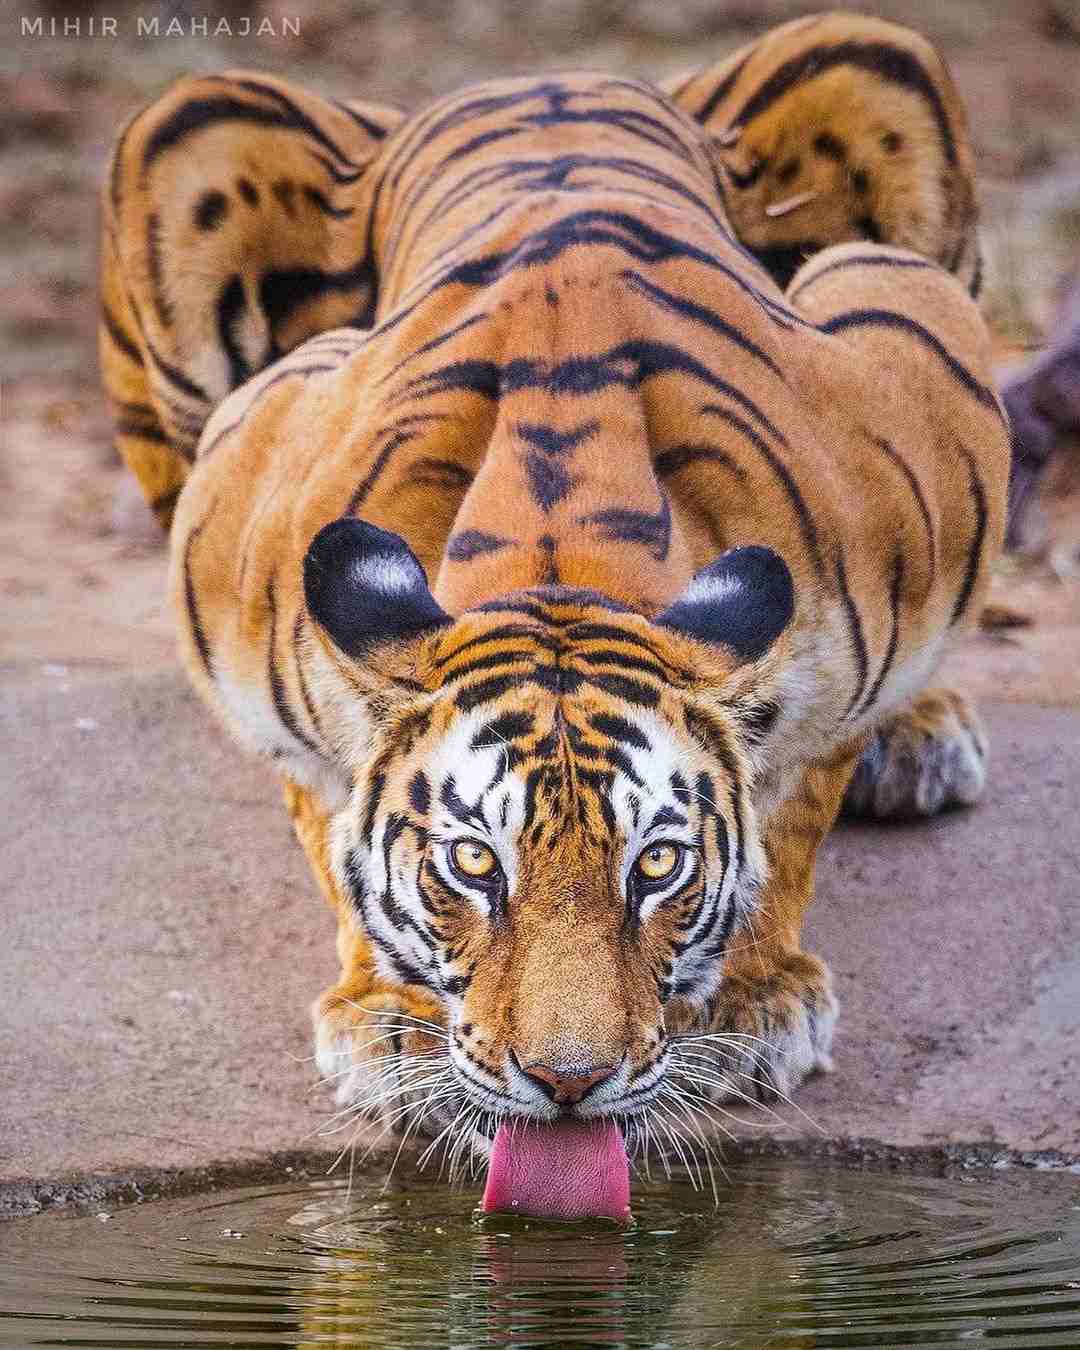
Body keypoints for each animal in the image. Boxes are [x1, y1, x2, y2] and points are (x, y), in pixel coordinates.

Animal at [99, 13, 1008, 1217]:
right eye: (472, 867)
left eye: (659, 866)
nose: (569, 1084)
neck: (563, 556)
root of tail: (546, 75)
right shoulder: (244, 534)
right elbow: (324, 803)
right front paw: (391, 1022)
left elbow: (803, 790)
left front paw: (752, 1002)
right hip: (186, 137)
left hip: (877, 73)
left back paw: (920, 741)